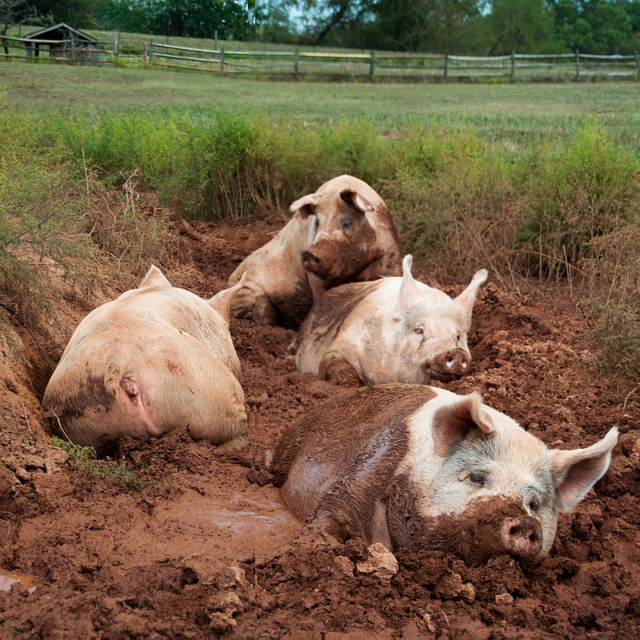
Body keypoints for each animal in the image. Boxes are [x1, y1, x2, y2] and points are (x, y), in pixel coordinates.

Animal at [227, 175, 401, 329]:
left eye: (346, 222)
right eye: (317, 222)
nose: (310, 253)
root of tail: (228, 280)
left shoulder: (390, 258)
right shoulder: (314, 279)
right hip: (248, 292)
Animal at [250, 384, 618, 565]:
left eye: (534, 503)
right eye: (477, 477)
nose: (525, 524)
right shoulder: (366, 472)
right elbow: (332, 514)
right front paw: (307, 550)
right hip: (292, 441)